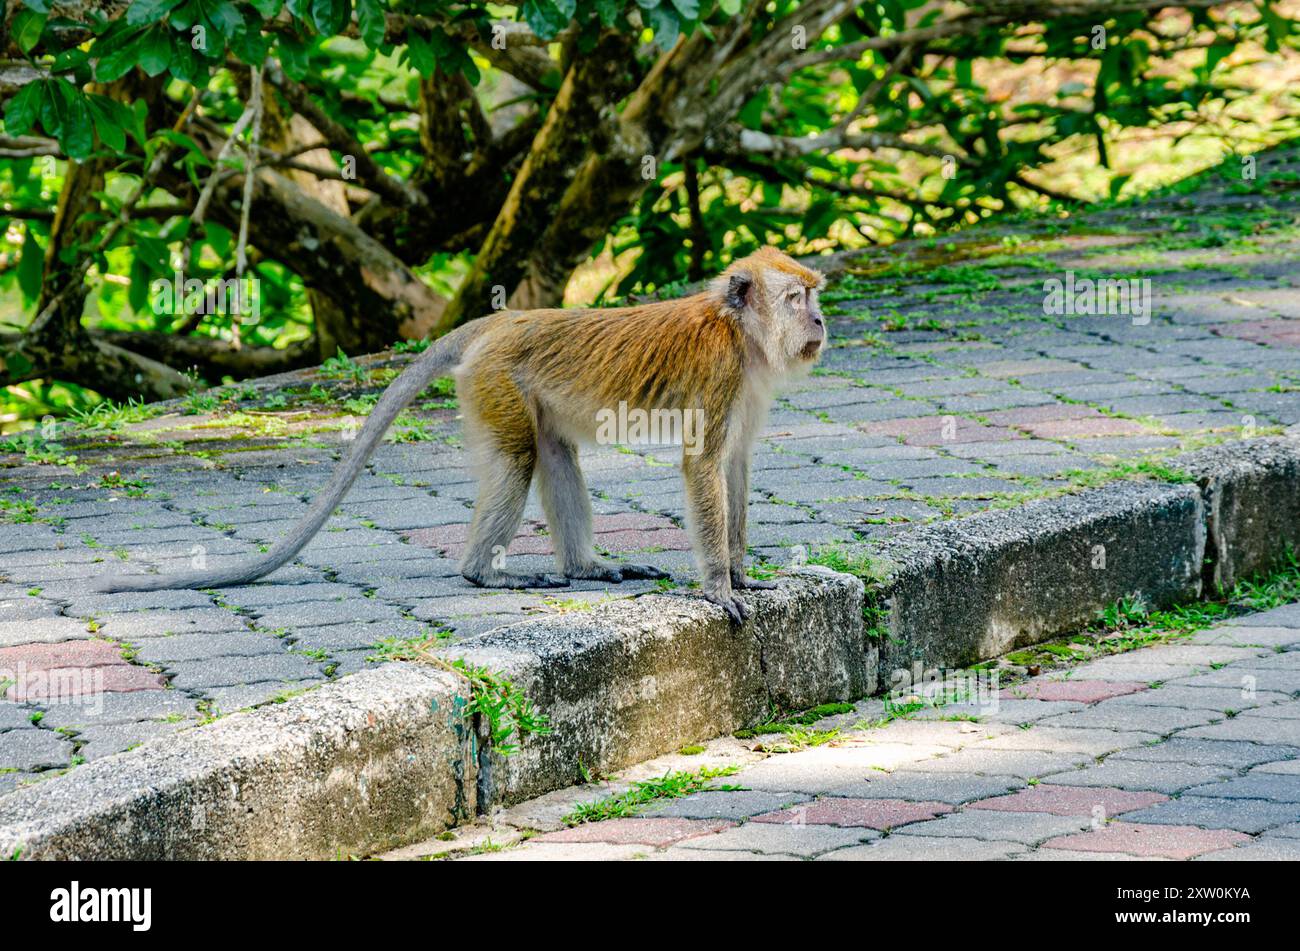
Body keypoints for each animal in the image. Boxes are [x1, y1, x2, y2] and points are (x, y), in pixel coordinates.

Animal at [98, 247, 827, 623]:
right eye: (797, 298)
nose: (820, 319)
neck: (740, 332)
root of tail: (498, 324)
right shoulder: (720, 372)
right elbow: (703, 468)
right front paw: (718, 588)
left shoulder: (745, 386)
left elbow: (733, 468)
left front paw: (742, 575)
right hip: (496, 381)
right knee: (520, 456)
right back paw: (483, 573)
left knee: (553, 452)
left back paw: (585, 567)